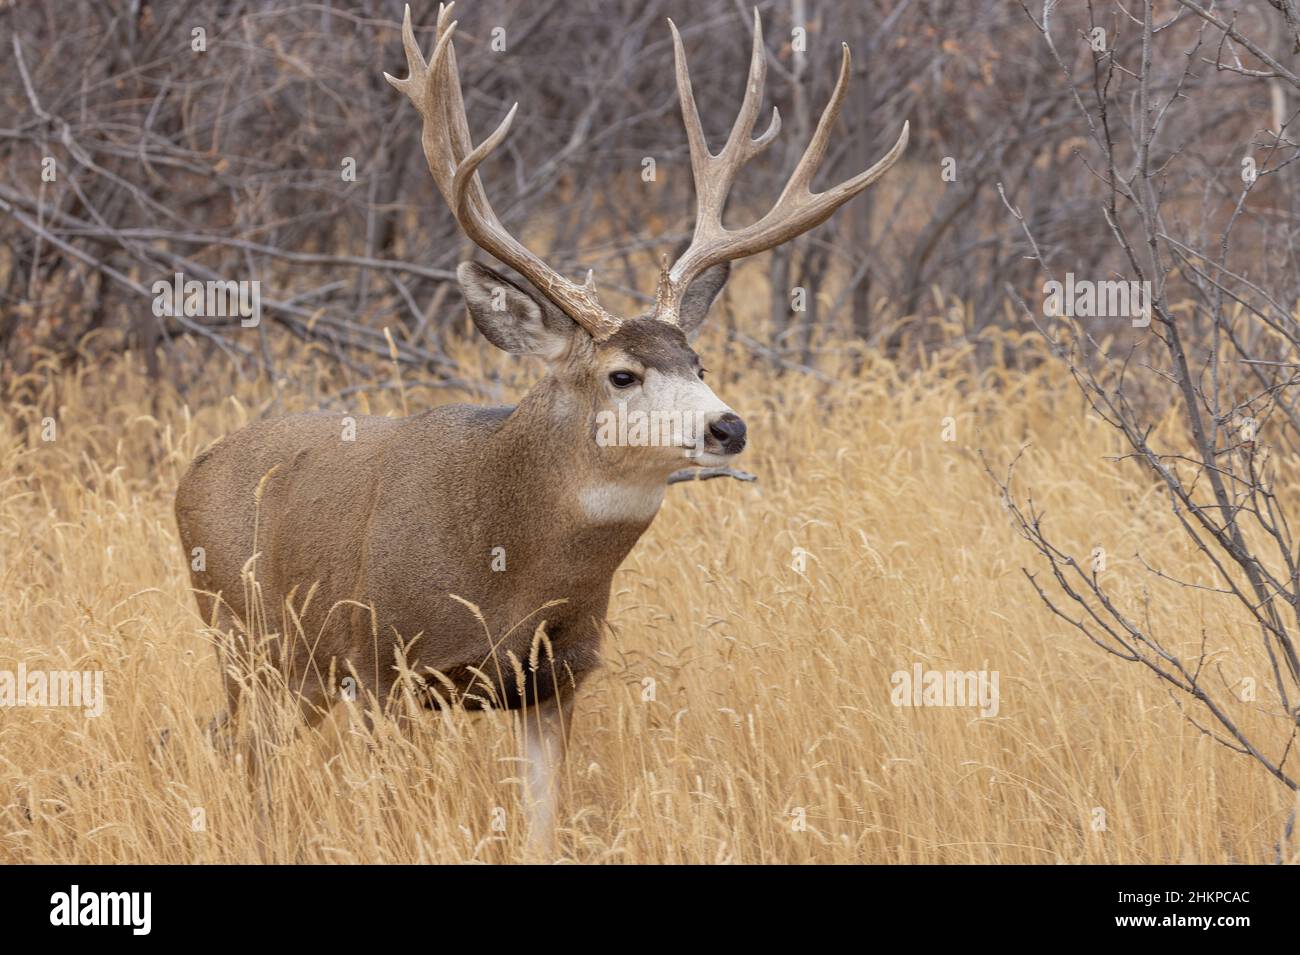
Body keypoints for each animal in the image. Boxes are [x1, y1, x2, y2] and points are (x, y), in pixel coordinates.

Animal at [173, 2, 907, 852]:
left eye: (697, 359)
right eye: (622, 374)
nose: (729, 427)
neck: (507, 557)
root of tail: (191, 472)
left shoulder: (557, 679)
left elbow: (542, 824)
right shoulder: (388, 665)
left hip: (299, 673)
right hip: (241, 636)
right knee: (239, 749)